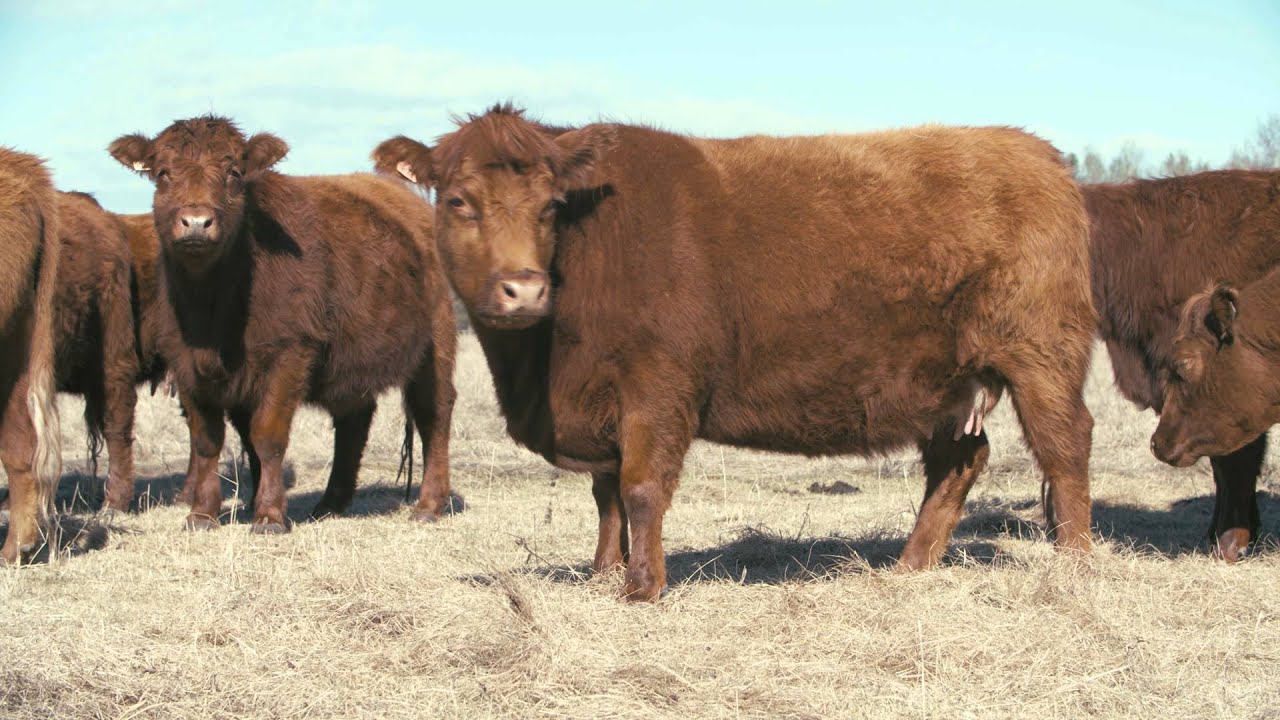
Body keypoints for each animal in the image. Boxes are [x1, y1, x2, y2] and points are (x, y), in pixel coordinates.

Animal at [108, 116, 456, 532]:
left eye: (233, 172)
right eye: (162, 173)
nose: (196, 223)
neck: (212, 308)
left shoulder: (290, 354)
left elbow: (267, 437)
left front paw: (270, 514)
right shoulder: (187, 363)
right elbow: (208, 440)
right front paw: (203, 513)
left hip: (435, 345)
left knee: (434, 414)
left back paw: (429, 504)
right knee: (353, 422)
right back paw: (331, 503)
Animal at [373, 104, 1097, 601]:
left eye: (550, 206)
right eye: (459, 201)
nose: (523, 287)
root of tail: (1034, 151)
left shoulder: (658, 386)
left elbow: (640, 488)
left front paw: (642, 588)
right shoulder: (601, 400)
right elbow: (605, 494)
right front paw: (604, 573)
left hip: (1041, 354)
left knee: (1066, 448)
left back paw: (1075, 565)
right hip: (947, 381)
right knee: (960, 459)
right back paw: (907, 567)